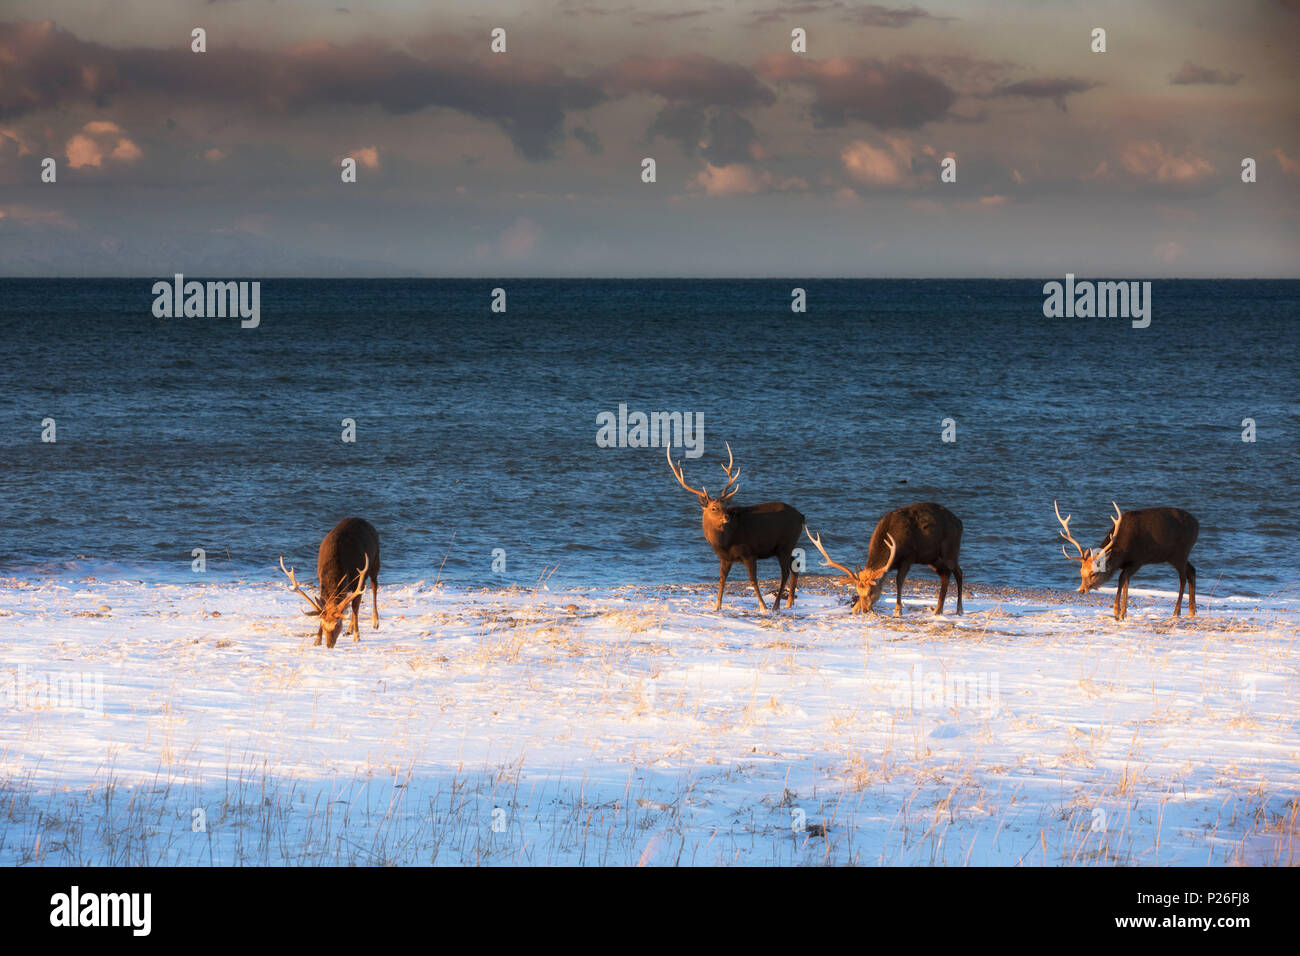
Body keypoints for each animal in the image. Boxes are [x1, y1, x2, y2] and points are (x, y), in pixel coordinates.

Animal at [280, 517, 381, 647]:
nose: (329, 645)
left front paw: (357, 637)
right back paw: (349, 630)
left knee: (374, 587)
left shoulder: (359, 580)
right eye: (323, 624)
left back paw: (375, 622)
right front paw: (317, 640)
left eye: (337, 625)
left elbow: (355, 608)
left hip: (375, 562)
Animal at [666, 442, 804, 613]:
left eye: (726, 505)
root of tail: (802, 517)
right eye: (714, 508)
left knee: (785, 571)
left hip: (785, 544)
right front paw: (717, 606)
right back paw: (789, 602)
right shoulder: (725, 558)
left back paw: (776, 605)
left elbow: (753, 579)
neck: (724, 542)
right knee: (795, 565)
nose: (727, 517)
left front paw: (762, 605)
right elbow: (722, 579)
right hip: (786, 546)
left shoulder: (749, 552)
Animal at [805, 502, 964, 617]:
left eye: (871, 592)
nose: (864, 610)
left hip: (950, 550)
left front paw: (898, 610)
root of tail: (960, 523)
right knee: (945, 575)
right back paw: (938, 610)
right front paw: (854, 609)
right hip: (933, 558)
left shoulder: (908, 558)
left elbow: (899, 582)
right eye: (858, 592)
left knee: (958, 572)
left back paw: (958, 610)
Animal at [1054, 501, 1199, 621]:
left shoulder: (1137, 560)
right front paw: (1124, 612)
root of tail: (1197, 525)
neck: (1121, 554)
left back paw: (1176, 612)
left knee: (1182, 578)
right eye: (1081, 572)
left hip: (1181, 552)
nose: (1081, 590)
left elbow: (1121, 580)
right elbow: (1126, 582)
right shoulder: (1127, 564)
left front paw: (1117, 612)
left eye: (1093, 573)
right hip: (1176, 556)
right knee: (1191, 571)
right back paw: (1192, 611)